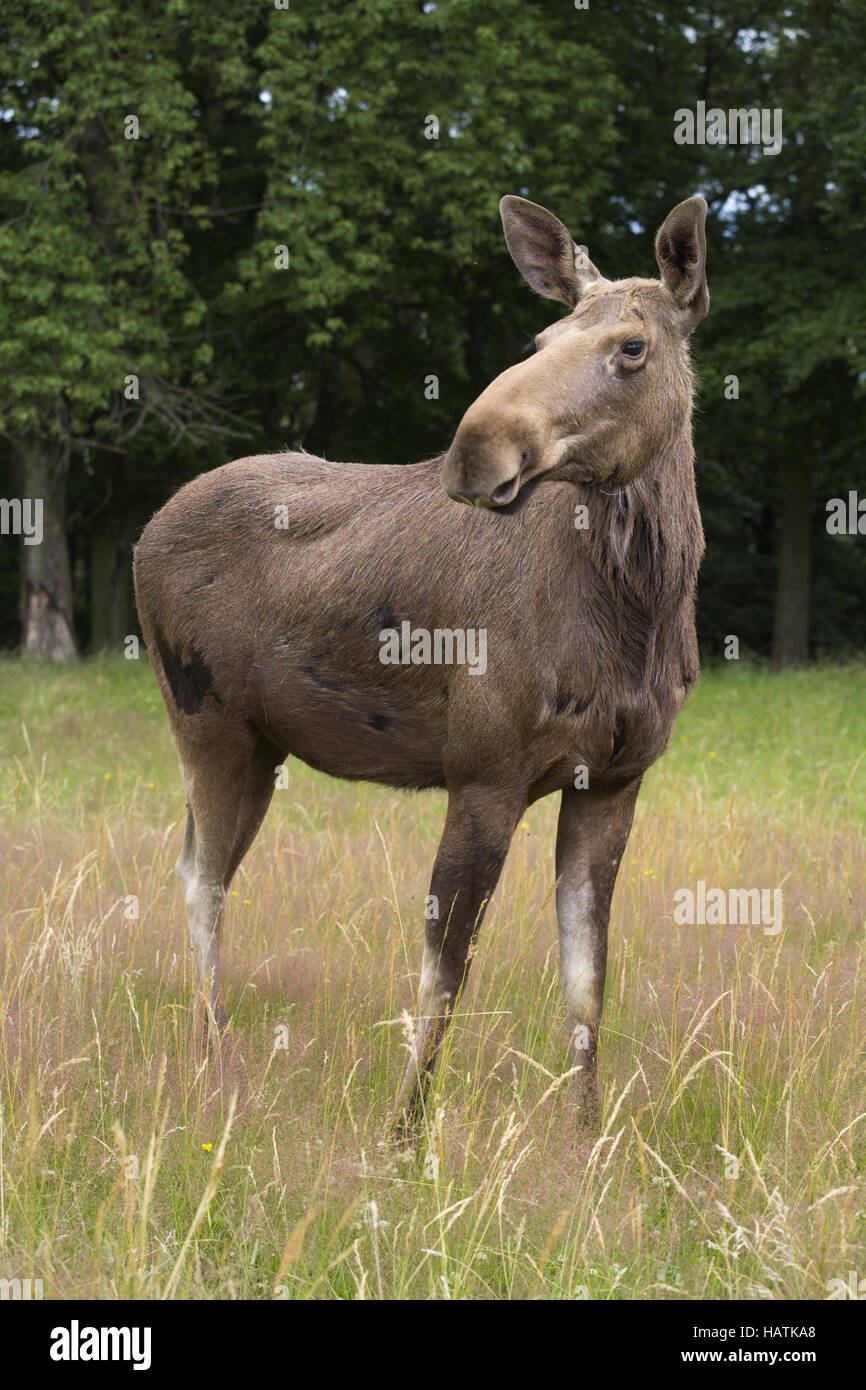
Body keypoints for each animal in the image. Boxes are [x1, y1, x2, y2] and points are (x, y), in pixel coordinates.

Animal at [133, 192, 708, 1137]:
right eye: (541, 339)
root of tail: (146, 531)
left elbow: (587, 981)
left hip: (260, 744)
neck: (640, 616)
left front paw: (588, 1136)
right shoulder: (482, 768)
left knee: (200, 866)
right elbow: (446, 971)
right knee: (200, 879)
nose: (475, 449)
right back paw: (215, 1065)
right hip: (203, 719)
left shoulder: (618, 779)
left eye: (633, 346)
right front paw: (405, 1135)